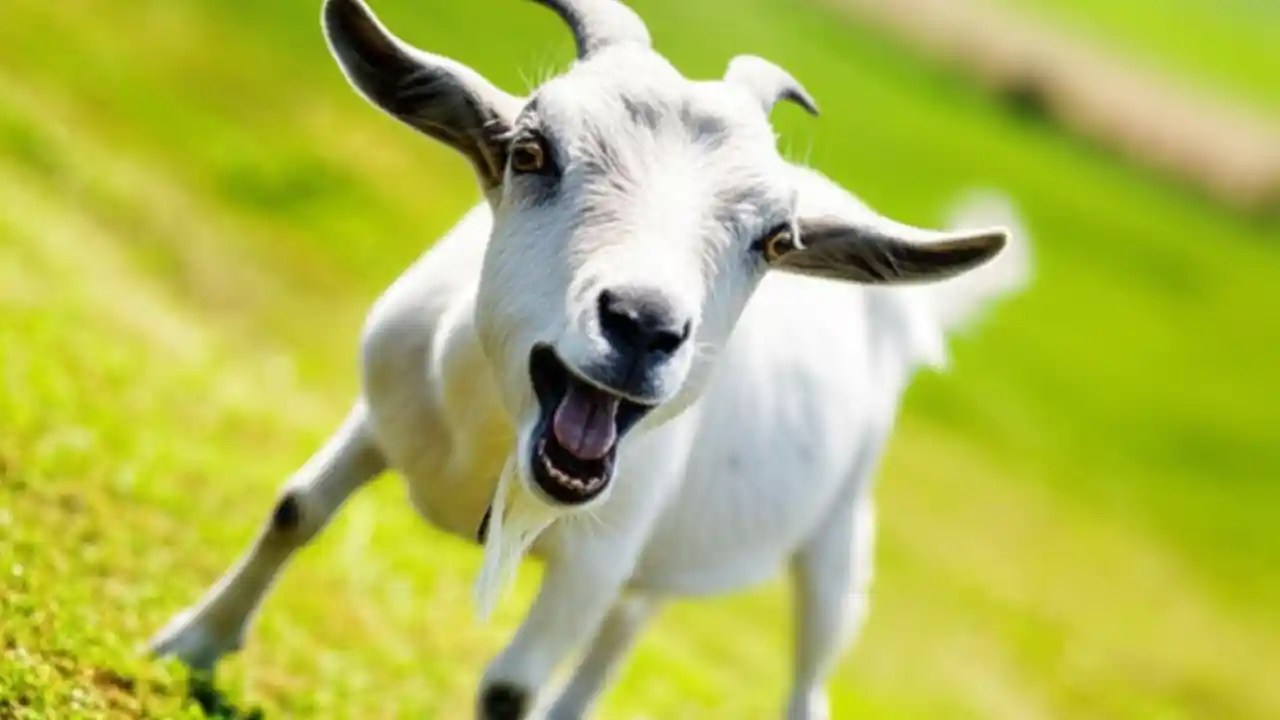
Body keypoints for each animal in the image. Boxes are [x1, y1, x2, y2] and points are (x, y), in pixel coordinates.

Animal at [149, 1, 1028, 717]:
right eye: (530, 152)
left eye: (776, 240)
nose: (643, 323)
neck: (496, 444)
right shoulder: (379, 414)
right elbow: (294, 509)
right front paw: (188, 644)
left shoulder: (596, 555)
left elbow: (508, 691)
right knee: (630, 624)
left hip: (838, 533)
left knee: (805, 682)